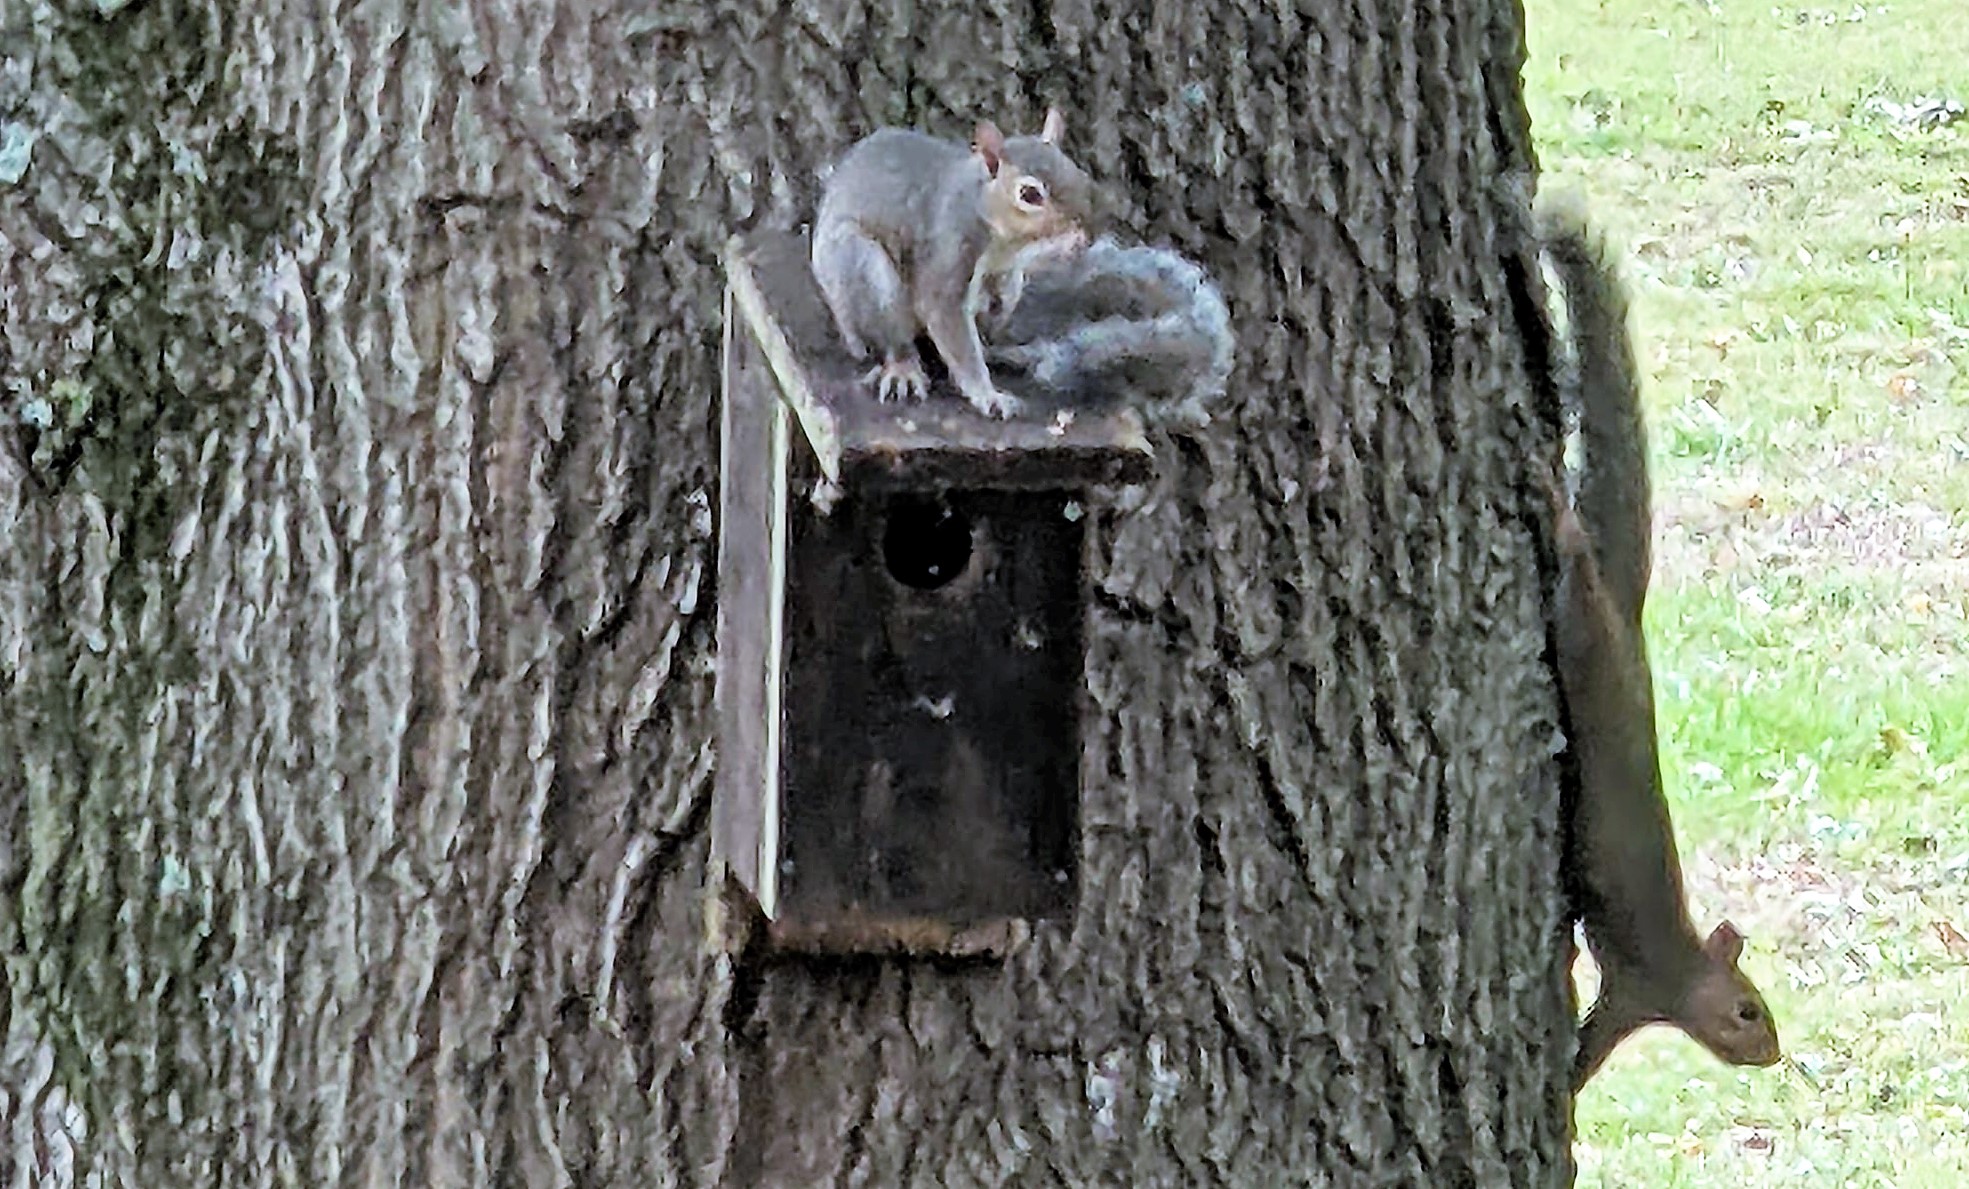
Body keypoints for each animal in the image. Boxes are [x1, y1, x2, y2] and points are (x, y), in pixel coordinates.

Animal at [810, 109, 1096, 420]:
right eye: (1029, 194)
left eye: (1079, 175)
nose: (1085, 235)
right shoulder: (947, 254)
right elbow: (952, 330)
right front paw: (988, 396)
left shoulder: (1005, 271)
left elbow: (994, 306)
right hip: (859, 267)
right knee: (890, 340)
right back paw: (903, 368)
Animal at [1537, 203, 1782, 1093]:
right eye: (1746, 1010)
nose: (1771, 1052)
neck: (1682, 977)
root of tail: (1626, 619)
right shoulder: (1635, 989)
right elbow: (1591, 1043)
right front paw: (1569, 1080)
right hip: (1588, 648)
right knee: (1574, 573)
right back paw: (1554, 508)